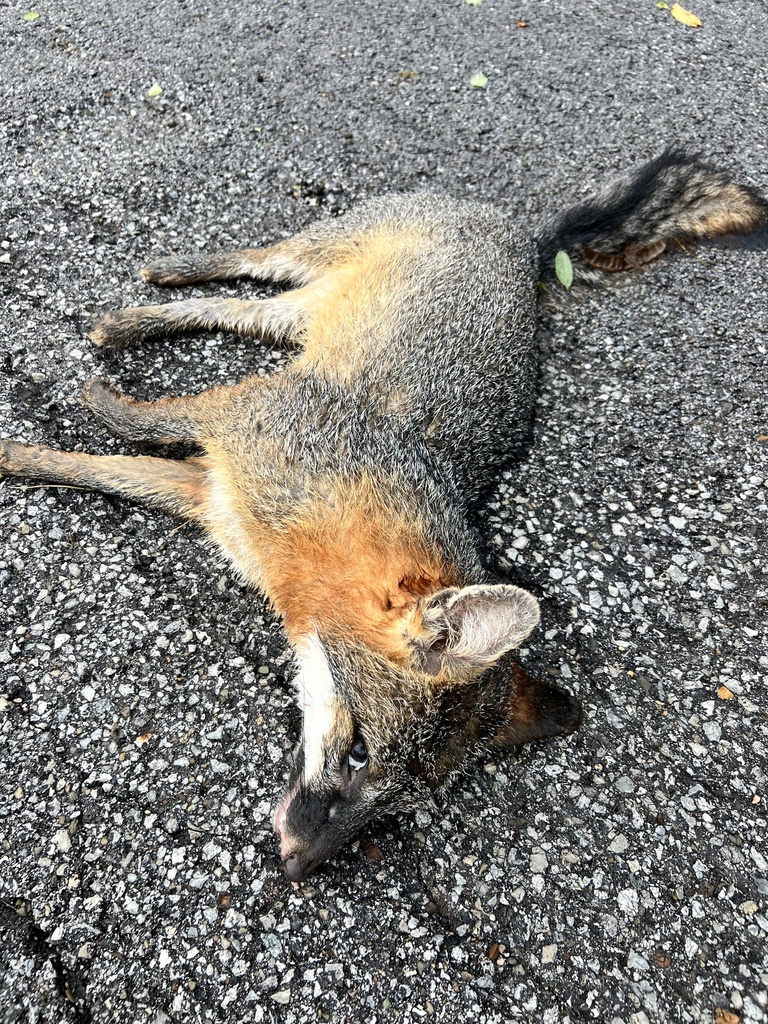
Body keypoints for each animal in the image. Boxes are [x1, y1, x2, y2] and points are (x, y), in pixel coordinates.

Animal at [1, 150, 765, 882]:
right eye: (361, 751)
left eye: (398, 804)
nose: (297, 867)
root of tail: (523, 238)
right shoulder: (242, 413)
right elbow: (140, 425)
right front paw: (91, 410)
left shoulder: (211, 495)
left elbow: (94, 468)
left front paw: (22, 453)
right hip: (312, 254)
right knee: (244, 261)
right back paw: (160, 279)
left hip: (298, 314)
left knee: (233, 305)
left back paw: (136, 316)